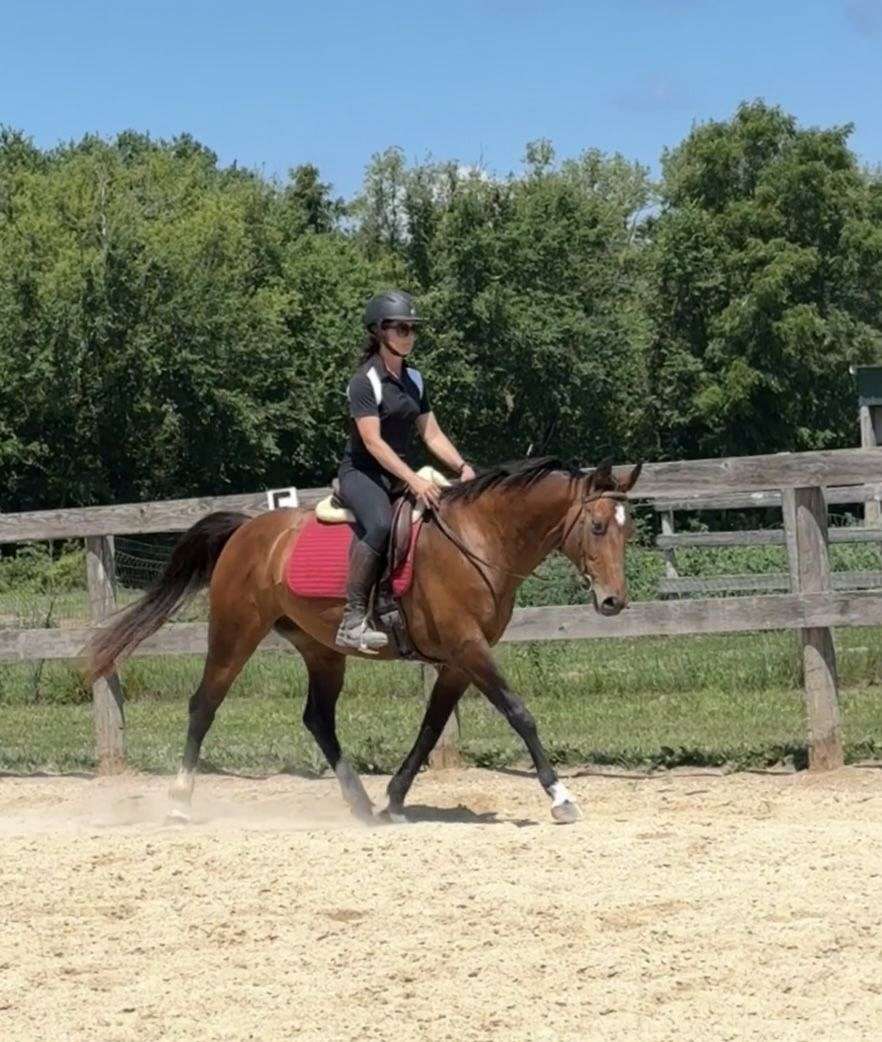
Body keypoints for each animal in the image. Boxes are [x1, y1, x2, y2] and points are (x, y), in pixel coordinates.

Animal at [86, 456, 642, 824]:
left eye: (628, 529)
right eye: (597, 526)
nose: (613, 601)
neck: (478, 539)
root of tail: (247, 531)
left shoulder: (456, 661)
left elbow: (431, 728)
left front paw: (395, 797)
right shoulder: (468, 648)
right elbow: (519, 712)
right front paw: (561, 797)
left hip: (322, 650)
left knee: (318, 718)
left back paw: (361, 803)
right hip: (234, 633)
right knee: (203, 705)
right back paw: (181, 802)